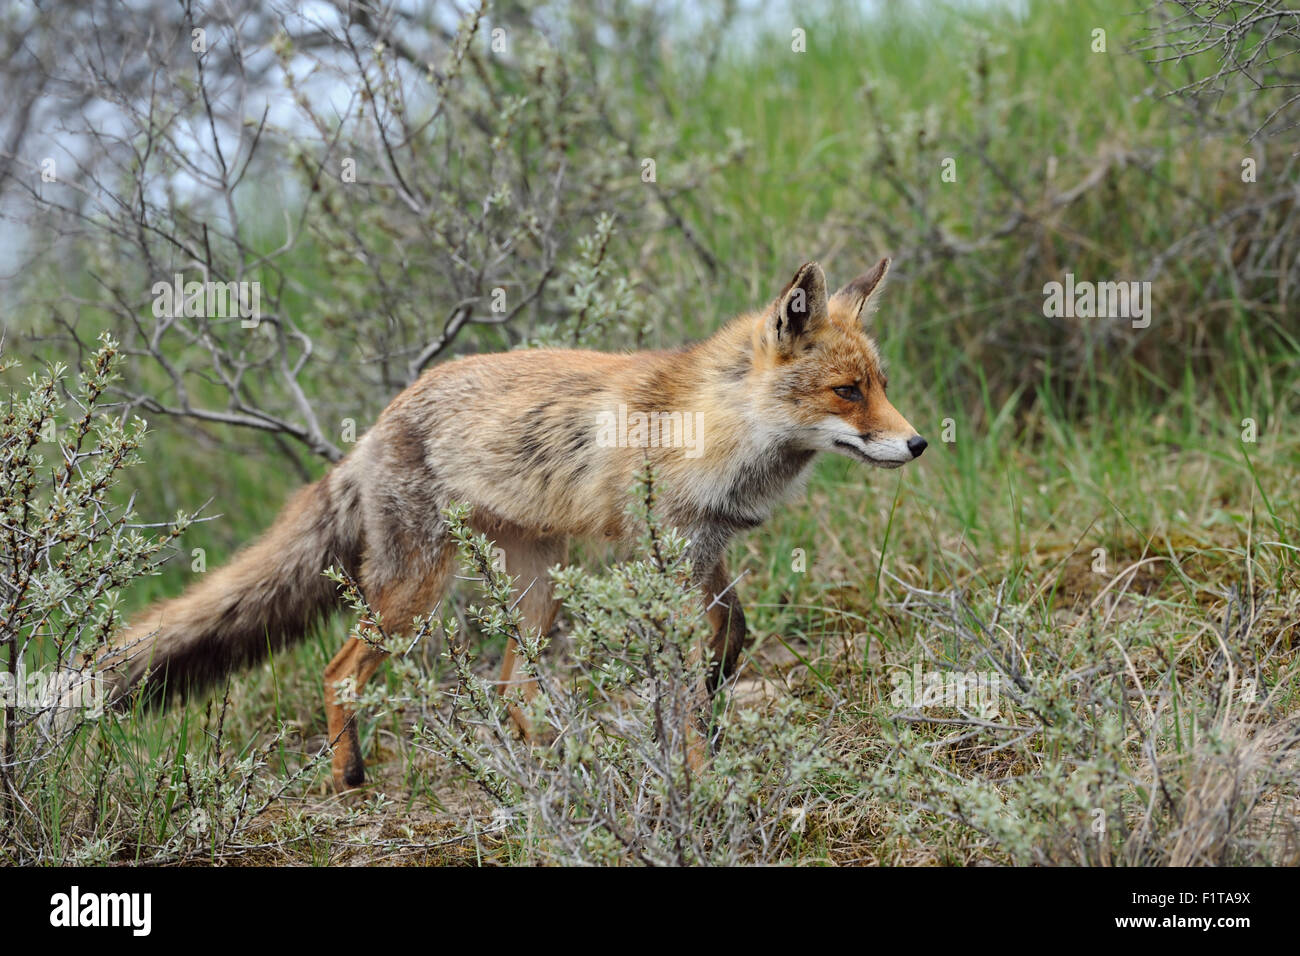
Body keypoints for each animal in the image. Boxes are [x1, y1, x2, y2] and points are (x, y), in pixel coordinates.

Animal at [80, 258, 926, 791]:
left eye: (882, 384)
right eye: (848, 391)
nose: (918, 443)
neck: (713, 428)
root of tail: (372, 429)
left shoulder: (704, 549)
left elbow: (733, 638)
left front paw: (714, 712)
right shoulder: (663, 555)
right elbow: (685, 678)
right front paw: (697, 766)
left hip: (537, 586)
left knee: (508, 685)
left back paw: (556, 761)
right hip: (416, 593)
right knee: (340, 672)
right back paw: (350, 777)